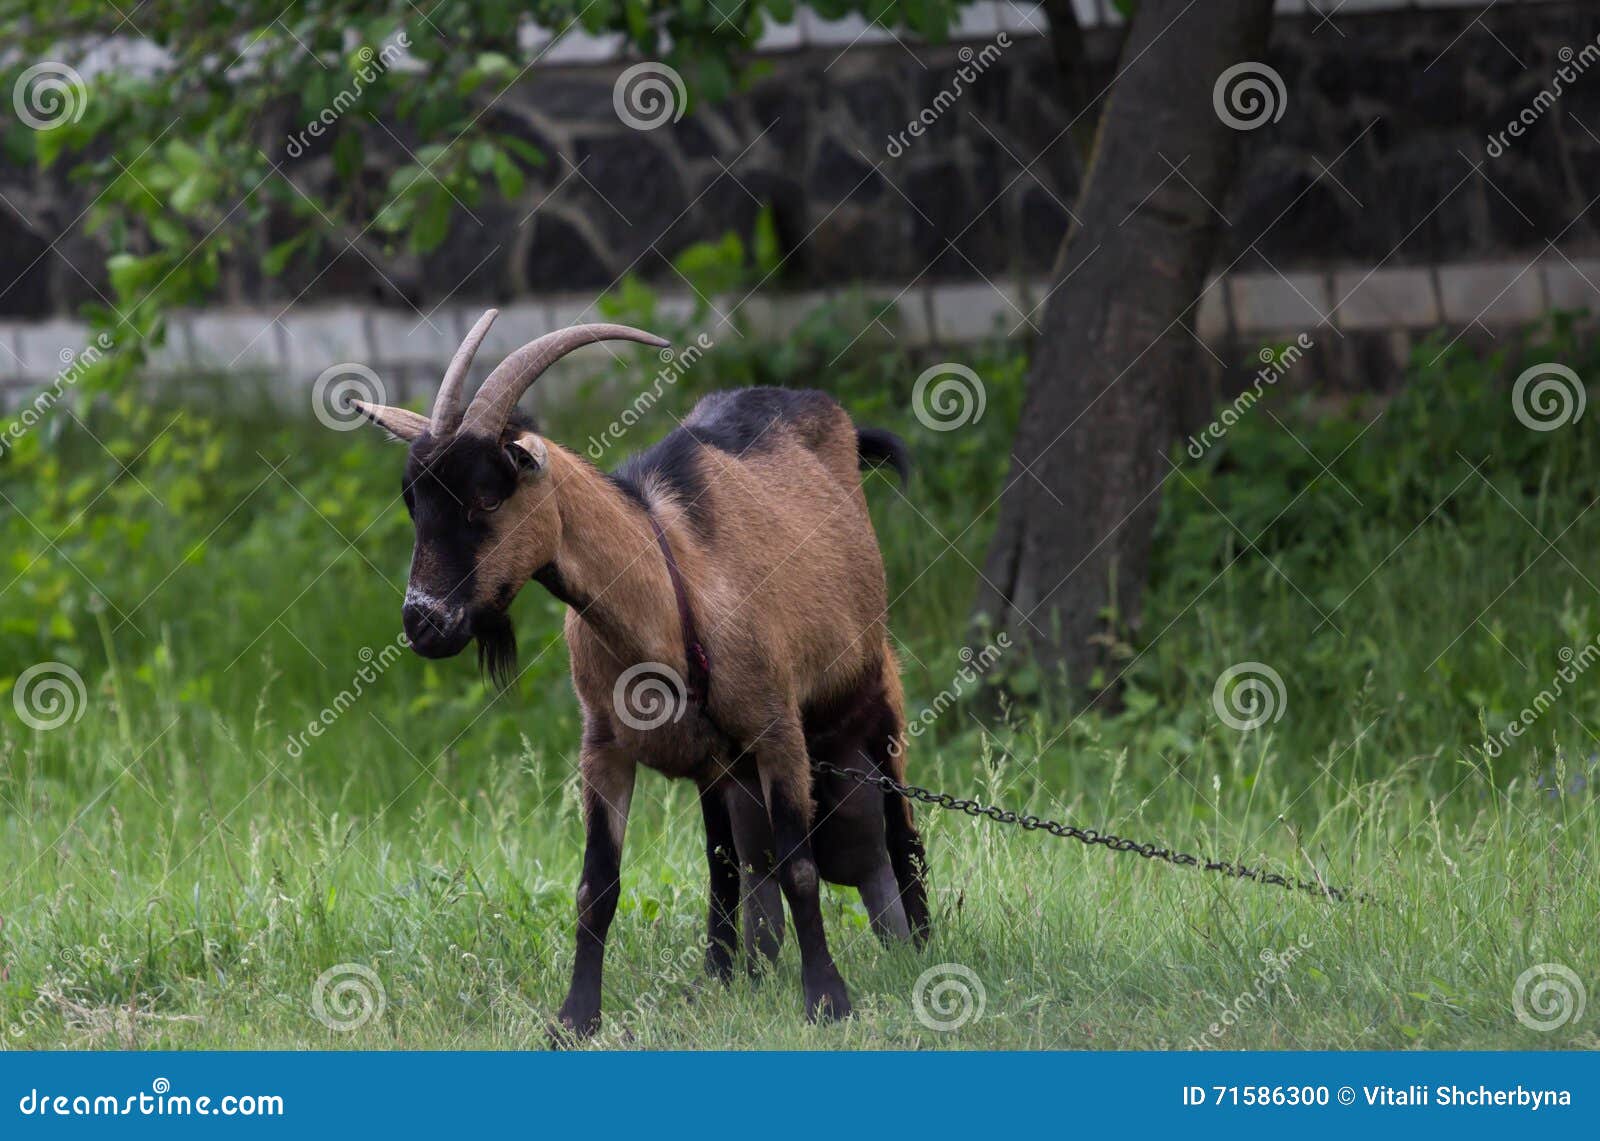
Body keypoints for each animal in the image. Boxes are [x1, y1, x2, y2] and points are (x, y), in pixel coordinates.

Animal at [348, 310, 930, 1036]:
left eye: (485, 495)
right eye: (413, 503)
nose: (423, 622)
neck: (670, 592)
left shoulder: (778, 731)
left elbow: (799, 868)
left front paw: (827, 999)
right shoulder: (605, 747)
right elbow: (598, 886)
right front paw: (574, 1019)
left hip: (872, 693)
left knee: (898, 829)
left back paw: (917, 946)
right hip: (721, 765)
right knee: (731, 863)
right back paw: (727, 973)